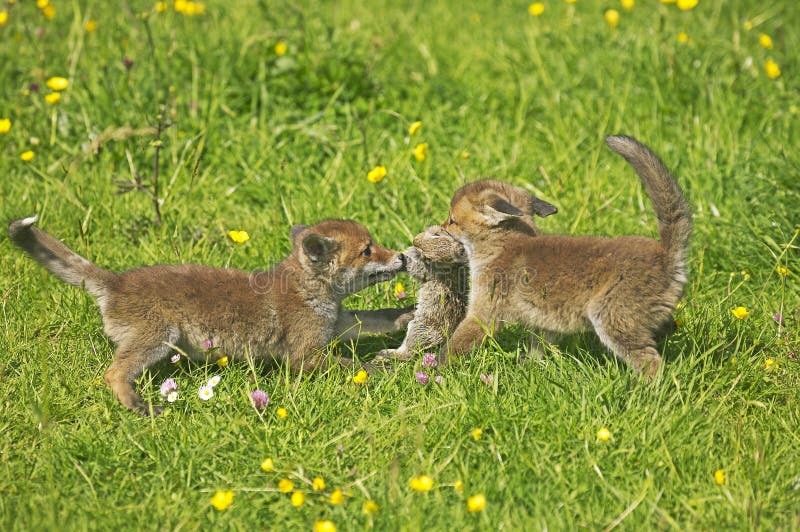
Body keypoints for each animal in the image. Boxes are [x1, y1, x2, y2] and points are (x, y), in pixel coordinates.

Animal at [8, 217, 413, 416]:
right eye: (367, 250)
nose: (404, 257)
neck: (308, 290)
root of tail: (115, 282)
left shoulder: (339, 324)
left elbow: (378, 319)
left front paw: (408, 316)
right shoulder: (304, 356)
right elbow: (354, 365)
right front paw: (384, 370)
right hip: (159, 339)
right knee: (113, 373)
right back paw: (138, 405)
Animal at [375, 224, 469, 363]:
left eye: (428, 258)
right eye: (436, 234)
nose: (415, 240)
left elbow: (417, 268)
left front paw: (404, 257)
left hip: (418, 328)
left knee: (409, 351)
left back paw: (387, 353)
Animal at [439, 135, 692, 376]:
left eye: (452, 220)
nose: (439, 227)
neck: (502, 247)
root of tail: (666, 253)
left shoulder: (484, 313)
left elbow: (455, 346)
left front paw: (433, 370)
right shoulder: (545, 320)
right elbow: (537, 346)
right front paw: (527, 368)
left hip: (611, 318)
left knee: (651, 362)